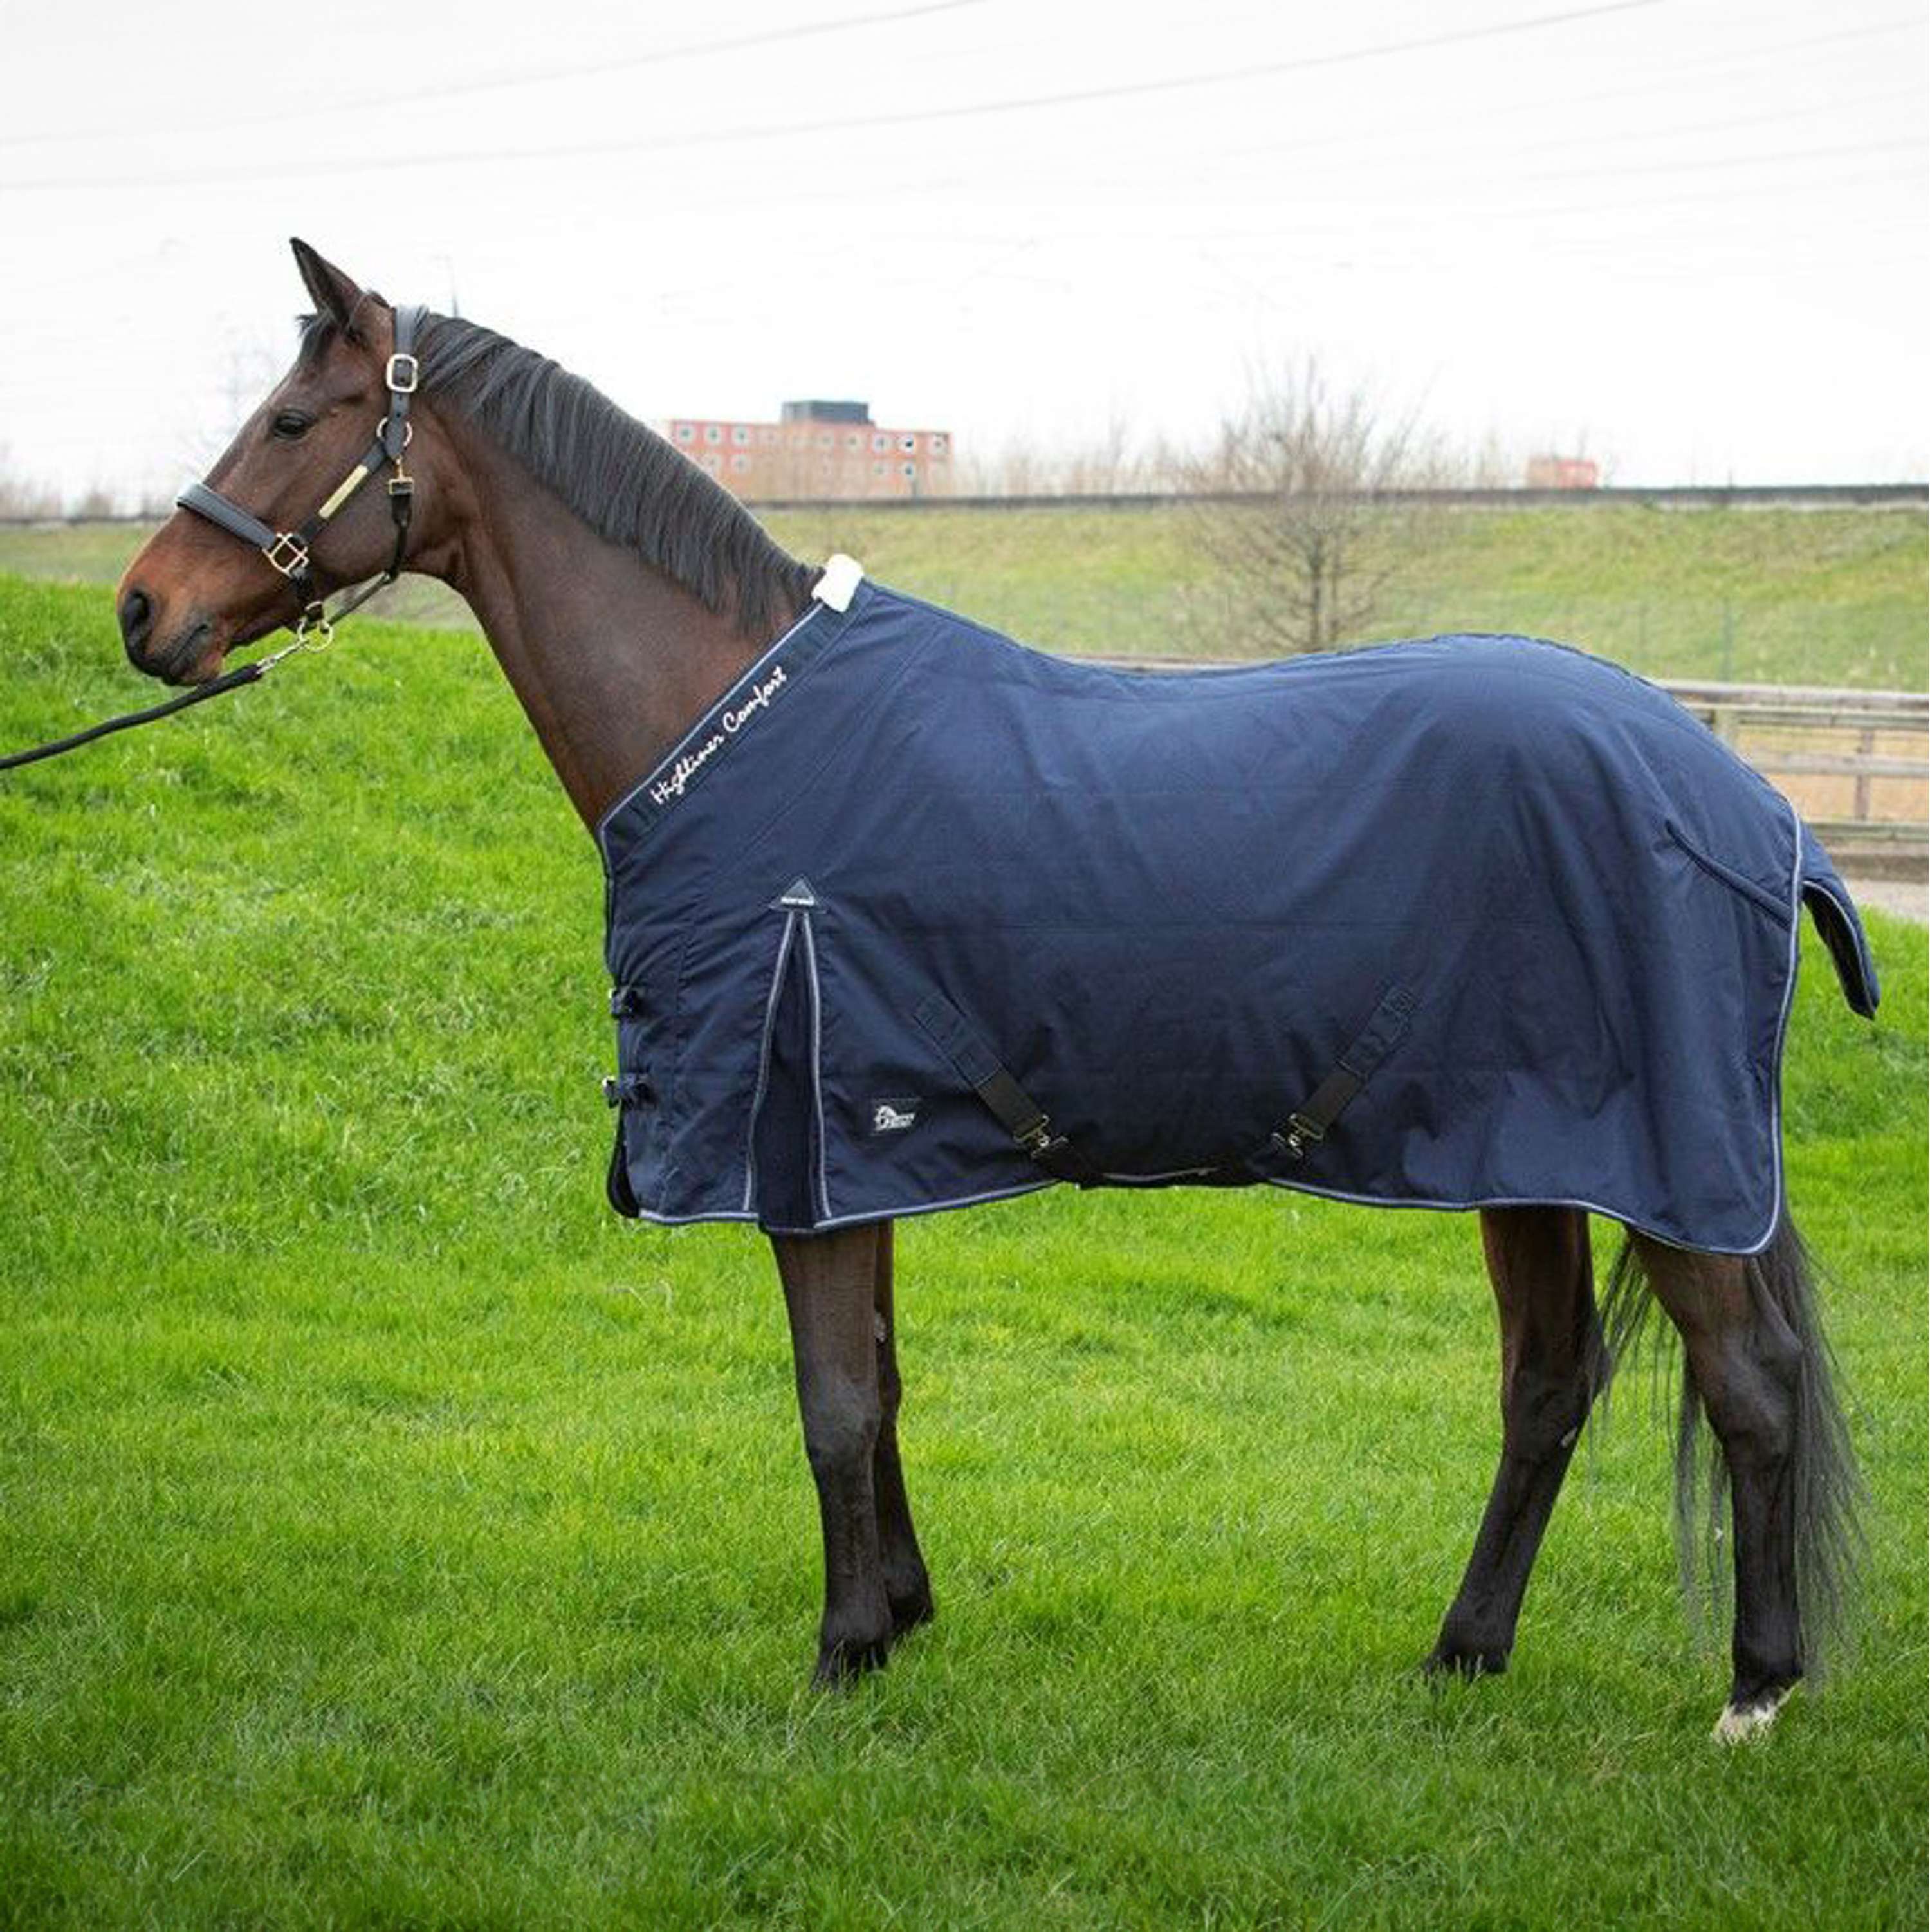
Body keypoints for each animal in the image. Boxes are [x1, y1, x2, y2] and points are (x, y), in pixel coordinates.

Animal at [113, 240, 1874, 1742]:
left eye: (292, 419)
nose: (144, 608)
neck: (729, 720)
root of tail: (1747, 801)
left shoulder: (802, 1136)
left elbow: (831, 1398)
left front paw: (838, 1656)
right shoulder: (849, 1146)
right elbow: (882, 1383)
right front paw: (899, 1616)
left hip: (1667, 1166)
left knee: (1749, 1388)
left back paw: (1754, 1689)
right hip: (1525, 1158)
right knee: (1549, 1387)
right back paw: (1464, 1652)